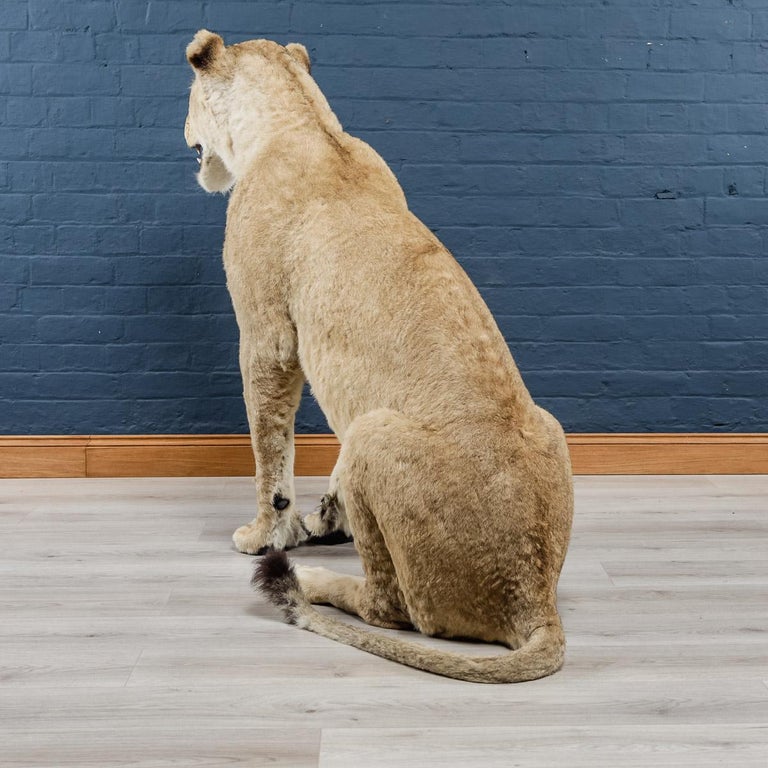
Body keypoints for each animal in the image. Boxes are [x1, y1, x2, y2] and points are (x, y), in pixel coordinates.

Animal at [184, 30, 573, 683]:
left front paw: (267, 532)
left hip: (373, 433)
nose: (184, 135)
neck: (305, 123)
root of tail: (532, 593)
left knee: (391, 607)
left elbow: (270, 450)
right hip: (550, 425)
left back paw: (313, 579)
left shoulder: (267, 338)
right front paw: (324, 515)